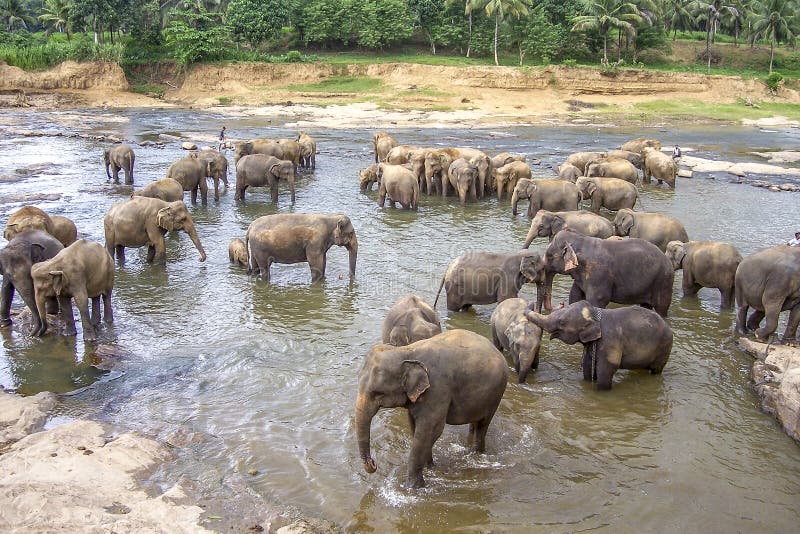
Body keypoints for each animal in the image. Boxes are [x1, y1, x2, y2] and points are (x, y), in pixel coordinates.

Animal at [355, 329, 508, 488]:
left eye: (378, 393)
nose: (374, 464)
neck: (406, 351)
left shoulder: (437, 390)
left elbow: (429, 430)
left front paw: (413, 488)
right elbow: (415, 427)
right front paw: (430, 468)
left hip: (496, 393)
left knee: (483, 425)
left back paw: (477, 455)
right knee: (475, 422)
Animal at [525, 300, 673, 390]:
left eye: (561, 322)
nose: (531, 303)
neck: (595, 314)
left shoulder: (610, 341)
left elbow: (606, 368)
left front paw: (601, 391)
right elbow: (588, 365)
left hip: (664, 348)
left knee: (656, 370)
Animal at [543, 229, 674, 316]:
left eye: (549, 256)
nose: (561, 303)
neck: (582, 241)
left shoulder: (598, 275)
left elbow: (596, 301)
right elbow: (575, 296)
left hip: (663, 282)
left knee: (661, 308)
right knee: (646, 305)